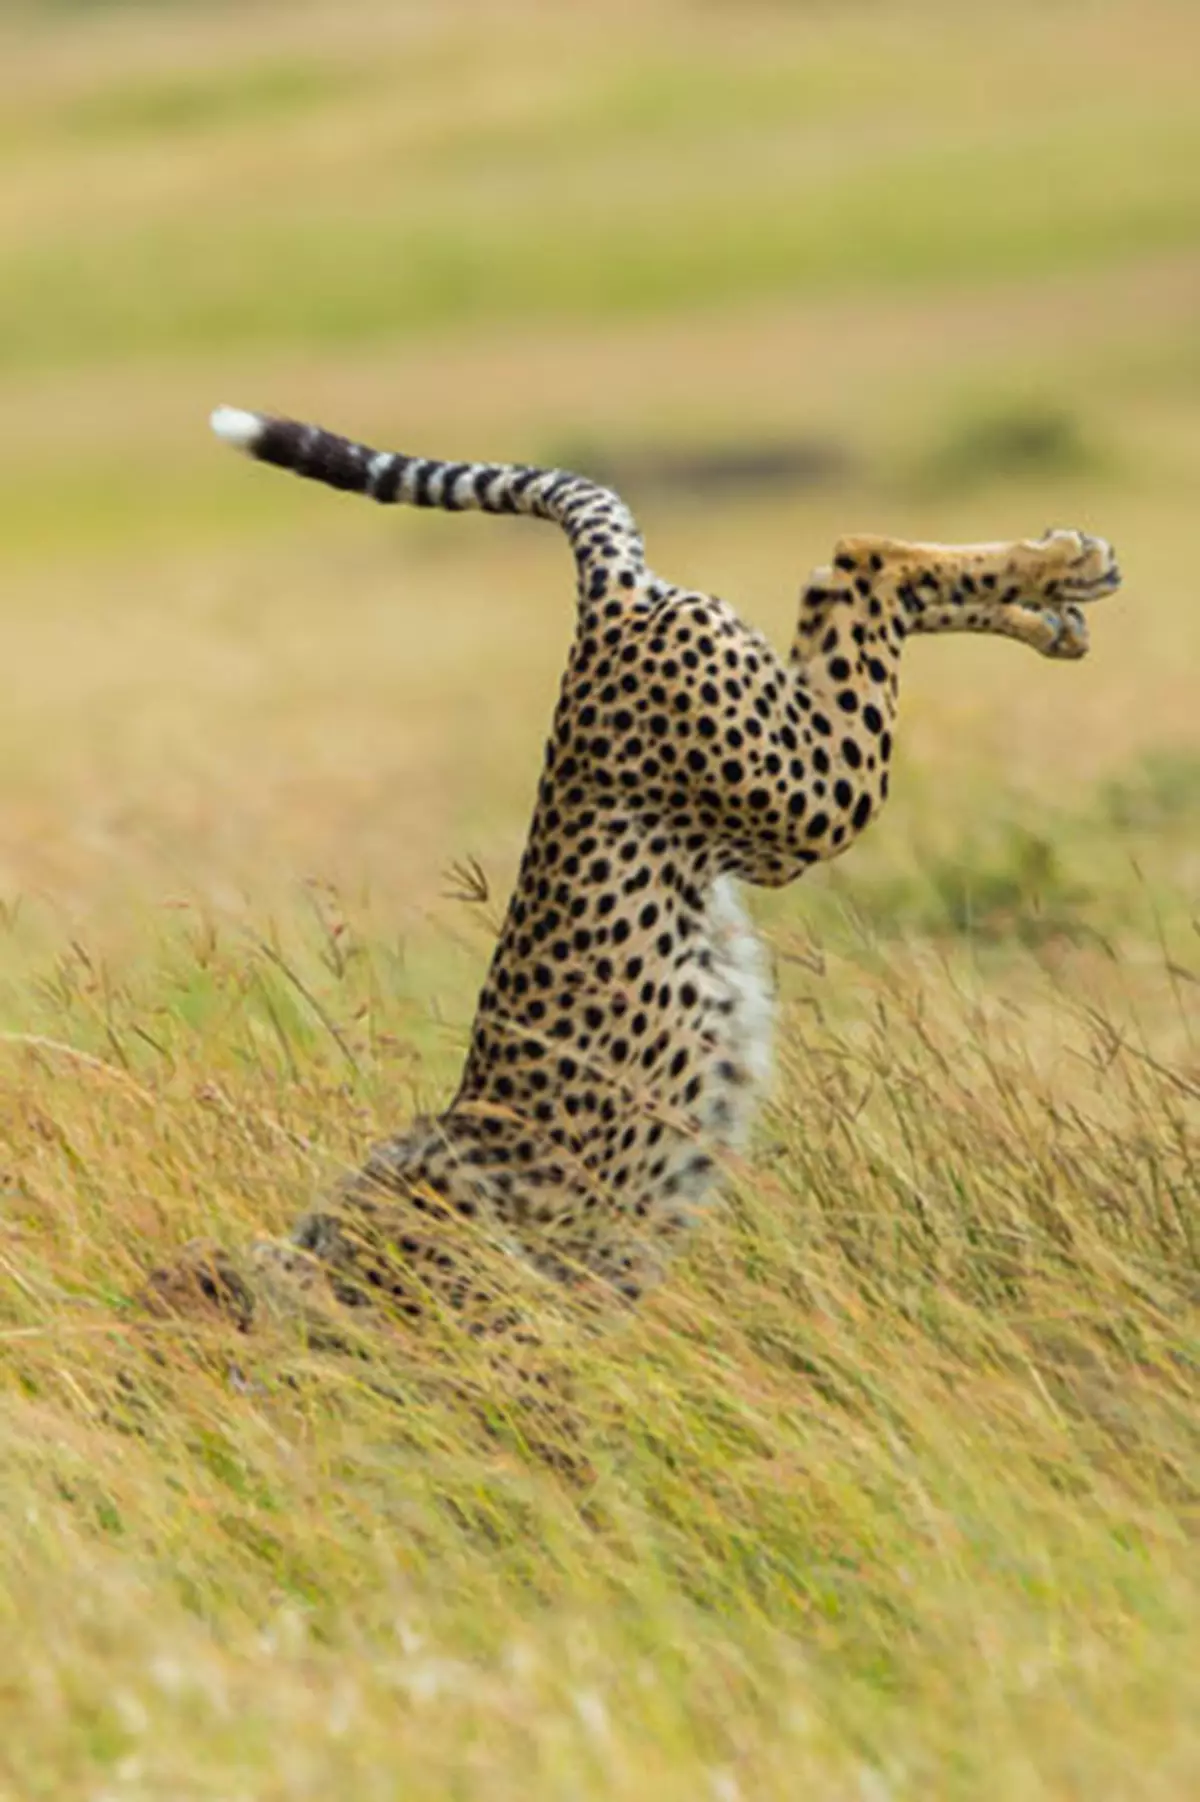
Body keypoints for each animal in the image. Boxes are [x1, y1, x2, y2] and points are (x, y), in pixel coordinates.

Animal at [142, 405, 1124, 1355]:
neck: (312, 1259)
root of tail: (607, 606)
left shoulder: (527, 1347)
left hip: (807, 793)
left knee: (855, 562)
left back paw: (1059, 568)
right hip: (775, 818)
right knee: (835, 584)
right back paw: (1054, 602)